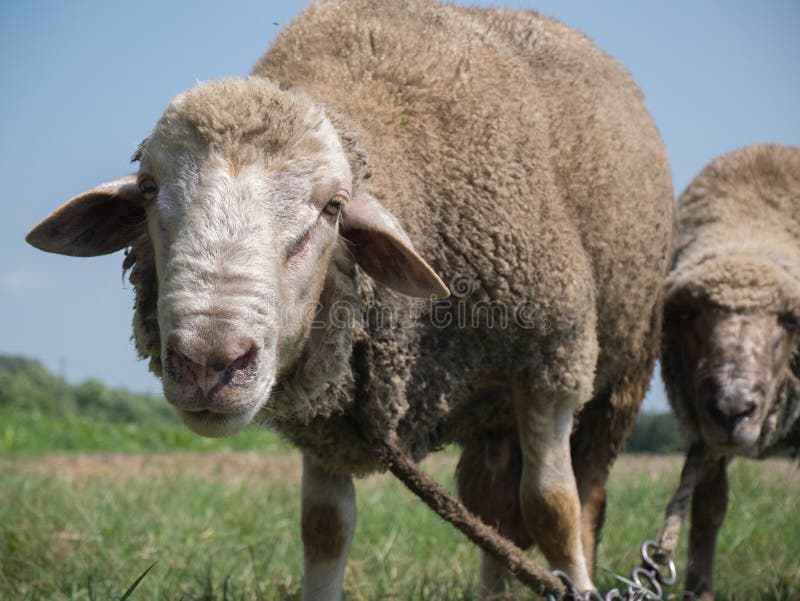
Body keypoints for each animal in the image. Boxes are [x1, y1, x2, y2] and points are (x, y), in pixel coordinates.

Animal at [26, 1, 674, 598]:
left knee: (581, 499)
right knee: (492, 510)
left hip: (619, 379)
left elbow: (553, 508)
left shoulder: (551, 359)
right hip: (495, 419)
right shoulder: (327, 412)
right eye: (147, 188)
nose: (210, 361)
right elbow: (324, 528)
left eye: (334, 206)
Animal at [660, 143, 800, 601]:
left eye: (790, 321)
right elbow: (707, 509)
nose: (732, 410)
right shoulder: (704, 435)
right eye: (689, 314)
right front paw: (698, 591)